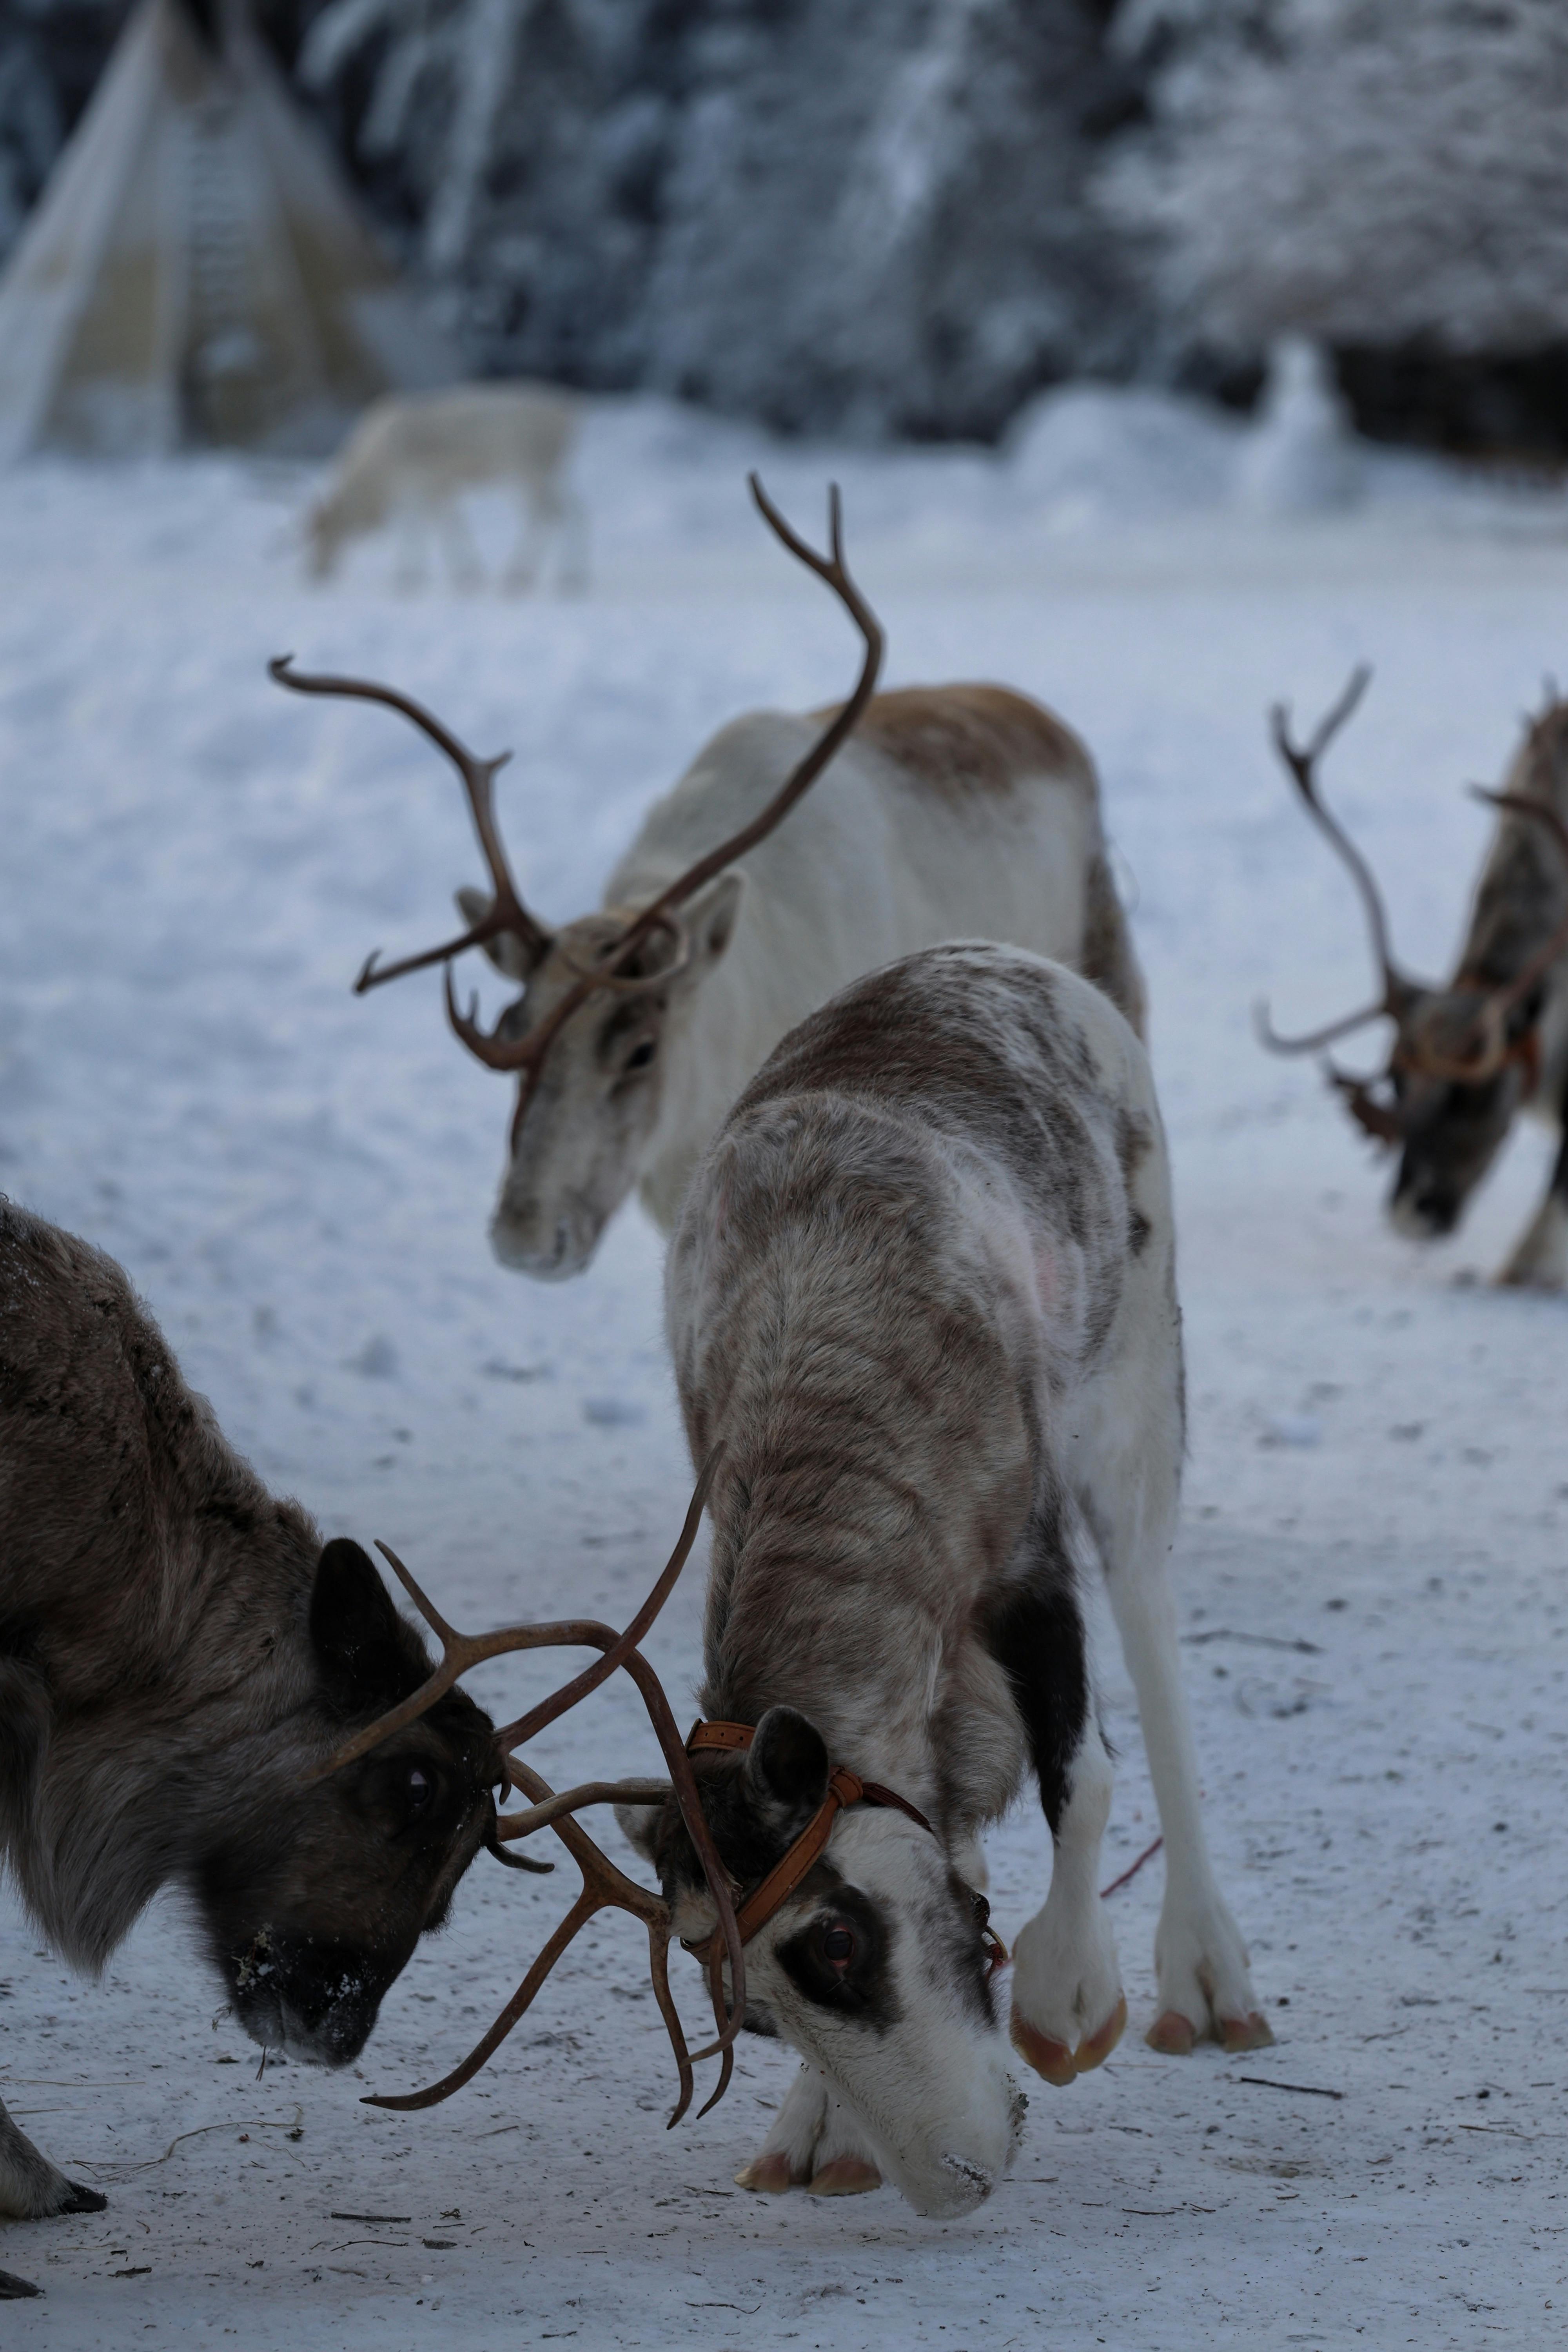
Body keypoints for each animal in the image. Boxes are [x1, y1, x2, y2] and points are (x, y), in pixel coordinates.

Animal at [305, 383, 586, 594]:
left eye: (326, 534)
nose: (313, 572)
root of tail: (568, 417)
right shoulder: (439, 487)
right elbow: (448, 525)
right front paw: (467, 573)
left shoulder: (414, 484)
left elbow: (418, 527)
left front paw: (408, 576)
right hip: (550, 472)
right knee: (575, 508)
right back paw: (568, 576)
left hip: (526, 470)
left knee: (551, 513)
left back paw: (528, 576)